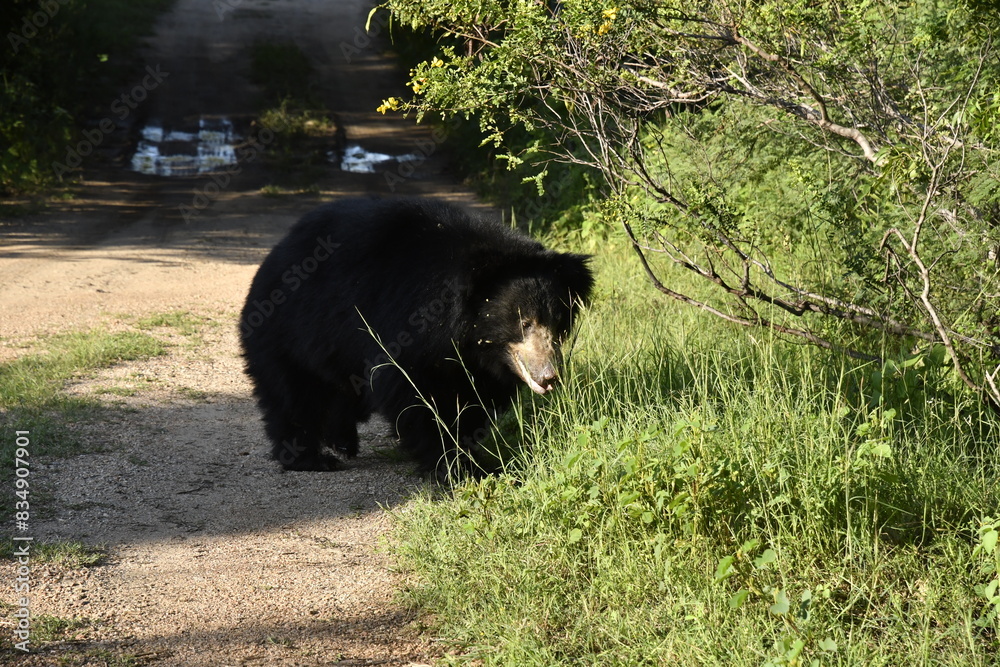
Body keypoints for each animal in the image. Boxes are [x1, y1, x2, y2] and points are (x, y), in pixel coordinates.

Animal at [239, 196, 593, 477]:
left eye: (558, 322)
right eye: (523, 323)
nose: (549, 376)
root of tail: (275, 255)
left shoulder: (475, 364)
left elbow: (472, 402)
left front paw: (470, 456)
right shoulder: (403, 322)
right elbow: (413, 395)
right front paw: (455, 466)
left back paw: (343, 441)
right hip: (289, 330)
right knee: (293, 394)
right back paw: (310, 458)